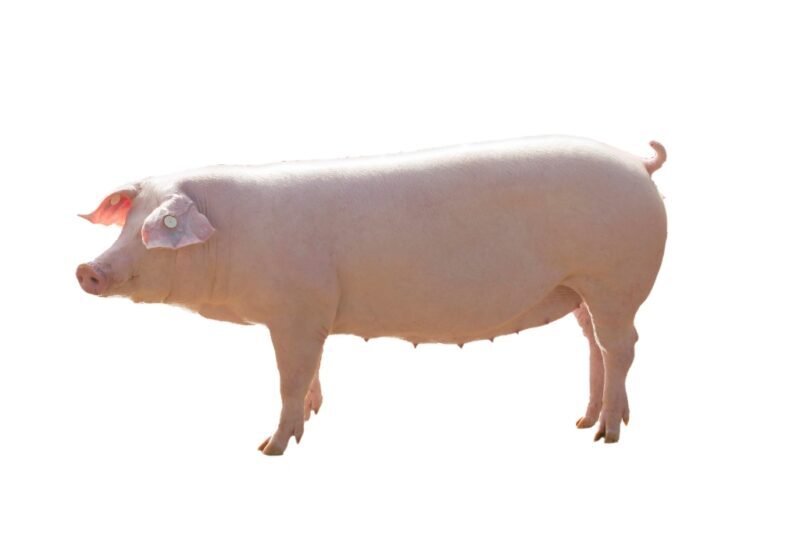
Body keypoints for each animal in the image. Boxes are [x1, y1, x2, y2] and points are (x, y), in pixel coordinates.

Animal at [76, 136, 667, 455]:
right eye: (126, 222)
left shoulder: (296, 310)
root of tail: (639, 164)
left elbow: (290, 376)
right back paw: (586, 421)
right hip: (582, 290)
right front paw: (312, 417)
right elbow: (311, 372)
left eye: (162, 224)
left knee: (621, 347)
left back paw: (606, 434)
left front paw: (270, 447)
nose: (87, 270)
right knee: (595, 346)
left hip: (617, 280)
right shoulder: (313, 315)